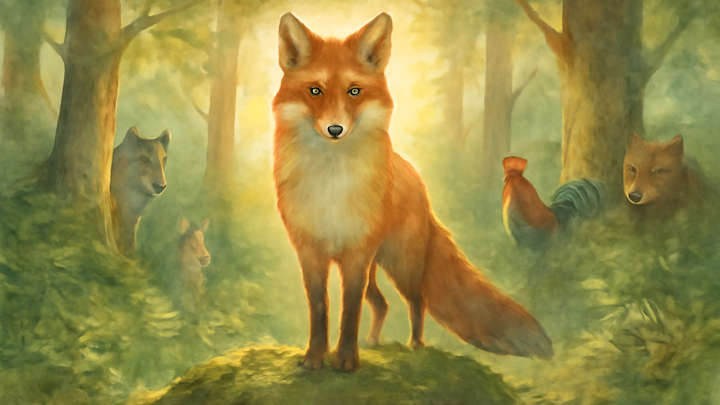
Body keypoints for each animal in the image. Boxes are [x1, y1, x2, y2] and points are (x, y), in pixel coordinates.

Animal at [272, 12, 552, 372]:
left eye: (354, 91)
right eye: (315, 91)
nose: (335, 129)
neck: (331, 186)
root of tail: (419, 182)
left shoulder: (356, 255)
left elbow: (349, 313)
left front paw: (346, 359)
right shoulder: (310, 254)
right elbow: (320, 312)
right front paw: (315, 358)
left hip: (400, 265)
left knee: (417, 301)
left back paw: (415, 344)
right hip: (379, 269)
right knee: (382, 304)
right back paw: (373, 341)